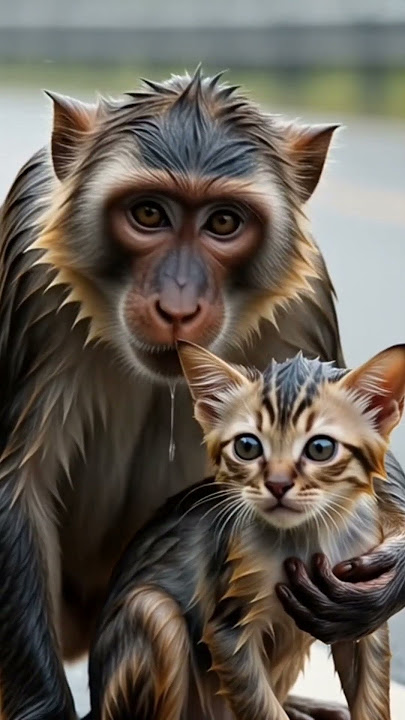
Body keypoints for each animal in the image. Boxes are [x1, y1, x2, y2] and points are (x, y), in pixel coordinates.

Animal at [0, 68, 404, 720]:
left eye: (223, 223)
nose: (178, 304)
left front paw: (385, 579)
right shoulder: (30, 275)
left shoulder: (303, 294)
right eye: (148, 213)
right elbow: (20, 488)